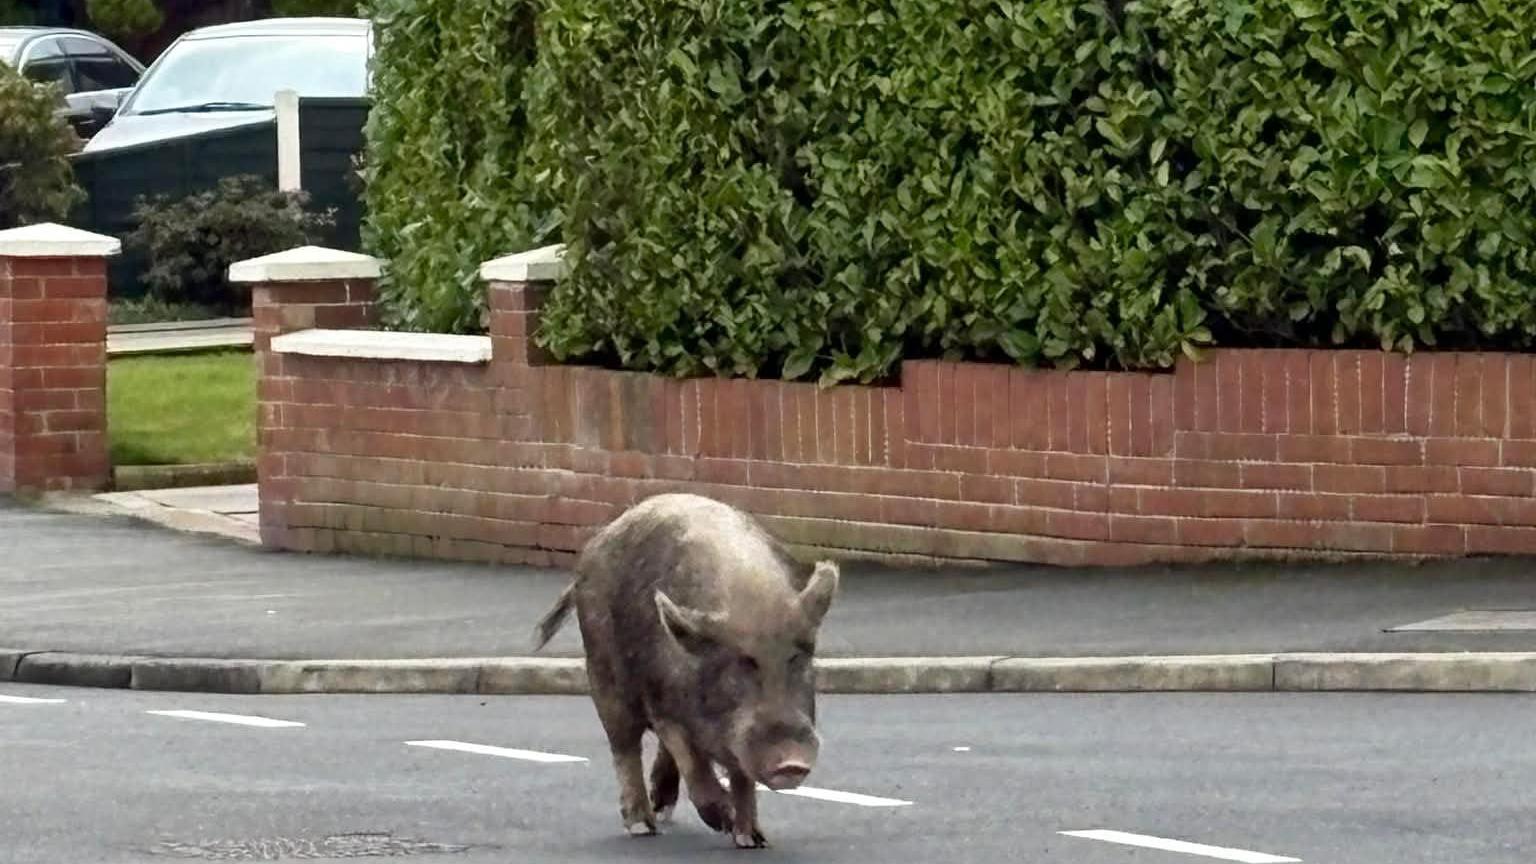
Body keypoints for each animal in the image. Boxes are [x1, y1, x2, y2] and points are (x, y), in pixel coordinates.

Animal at [532, 492, 840, 849]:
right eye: (741, 663)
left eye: (798, 658)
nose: (791, 763)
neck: (748, 598)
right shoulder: (663, 704)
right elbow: (693, 763)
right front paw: (725, 820)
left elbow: (741, 776)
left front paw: (752, 840)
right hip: (602, 673)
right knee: (624, 746)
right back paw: (643, 825)